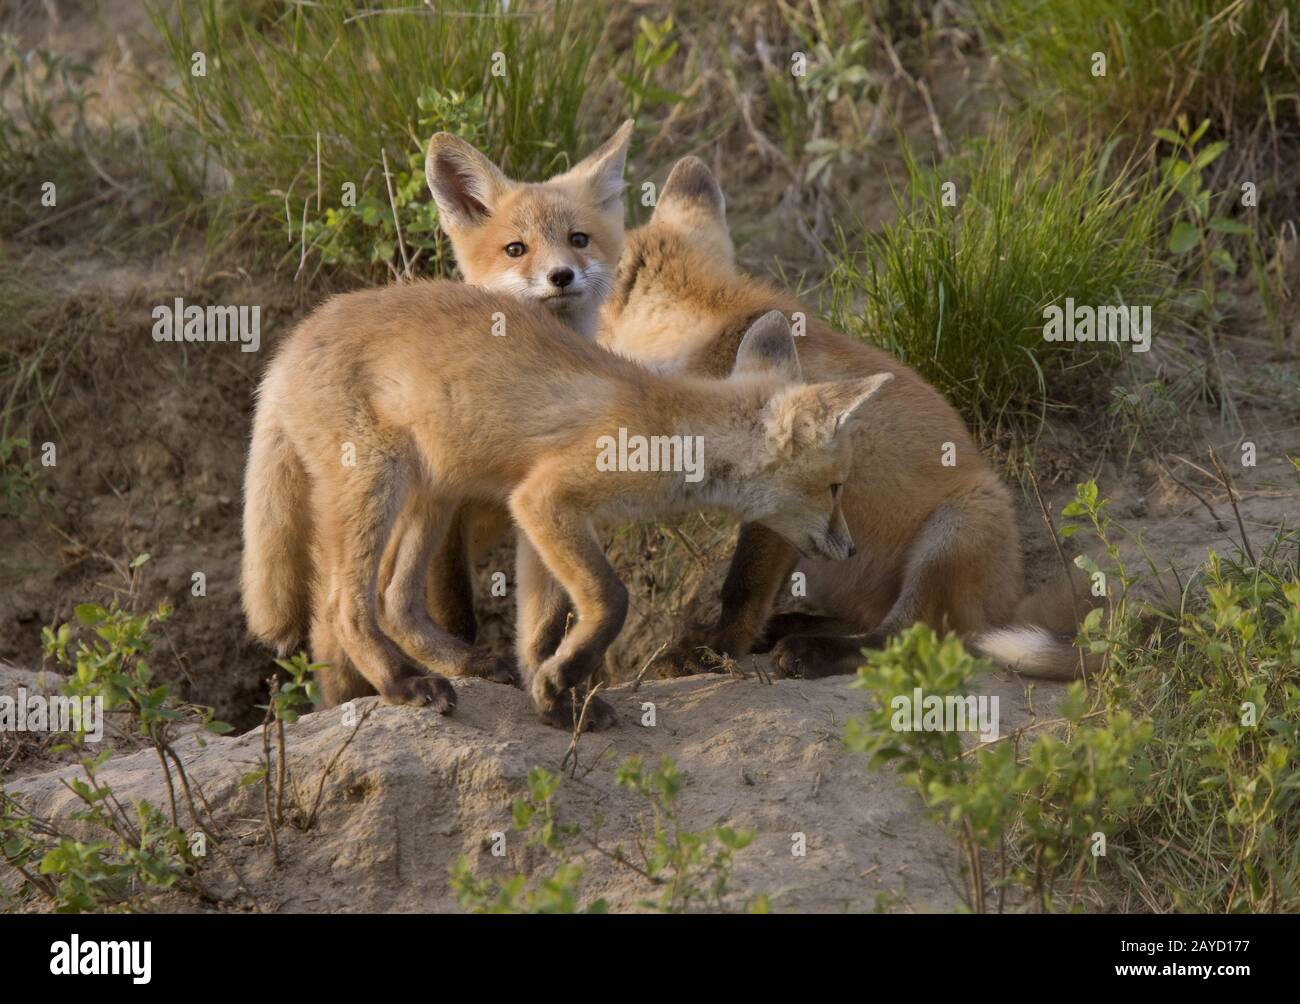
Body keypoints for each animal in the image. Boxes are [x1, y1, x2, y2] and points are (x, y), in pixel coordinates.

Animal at [240, 279, 892, 726]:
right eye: (837, 487)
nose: (851, 548)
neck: (671, 430)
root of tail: (285, 349)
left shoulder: (539, 516)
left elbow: (543, 624)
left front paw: (553, 695)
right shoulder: (544, 498)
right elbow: (611, 598)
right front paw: (562, 687)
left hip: (435, 492)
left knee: (396, 599)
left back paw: (467, 665)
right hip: (378, 484)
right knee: (344, 607)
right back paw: (403, 685)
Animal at [509, 155, 1098, 683]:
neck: (716, 330)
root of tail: (1010, 599)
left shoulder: (786, 494)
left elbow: (741, 586)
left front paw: (714, 652)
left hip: (954, 530)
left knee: (903, 638)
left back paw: (812, 651)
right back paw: (791, 628)